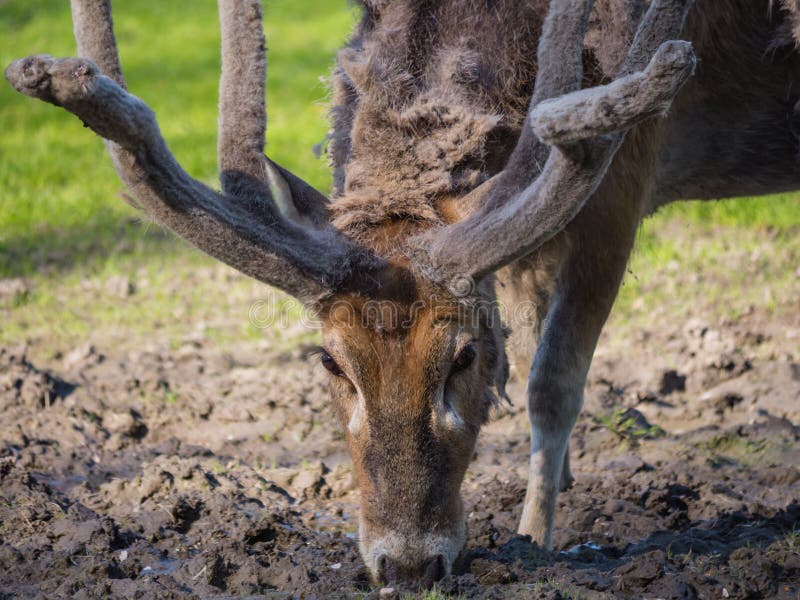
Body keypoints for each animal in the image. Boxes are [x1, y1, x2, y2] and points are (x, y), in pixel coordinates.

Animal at [6, 0, 800, 590]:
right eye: (330, 362)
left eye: (463, 356)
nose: (409, 566)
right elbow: (528, 338)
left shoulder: (624, 166)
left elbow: (551, 382)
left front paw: (535, 538)